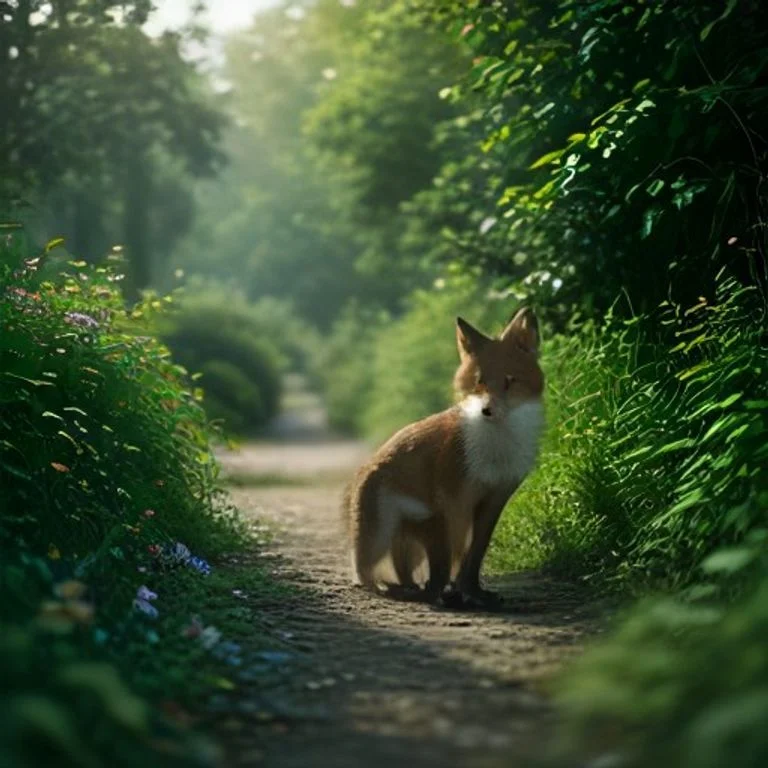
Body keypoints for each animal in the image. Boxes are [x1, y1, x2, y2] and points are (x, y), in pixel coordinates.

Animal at [342, 307, 544, 609]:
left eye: (510, 381)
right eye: (479, 381)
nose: (486, 411)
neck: (495, 451)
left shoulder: (496, 498)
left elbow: (474, 556)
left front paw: (473, 593)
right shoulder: (454, 499)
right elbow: (456, 556)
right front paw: (456, 592)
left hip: (412, 540)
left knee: (403, 569)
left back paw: (417, 589)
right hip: (386, 535)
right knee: (364, 571)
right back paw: (405, 590)